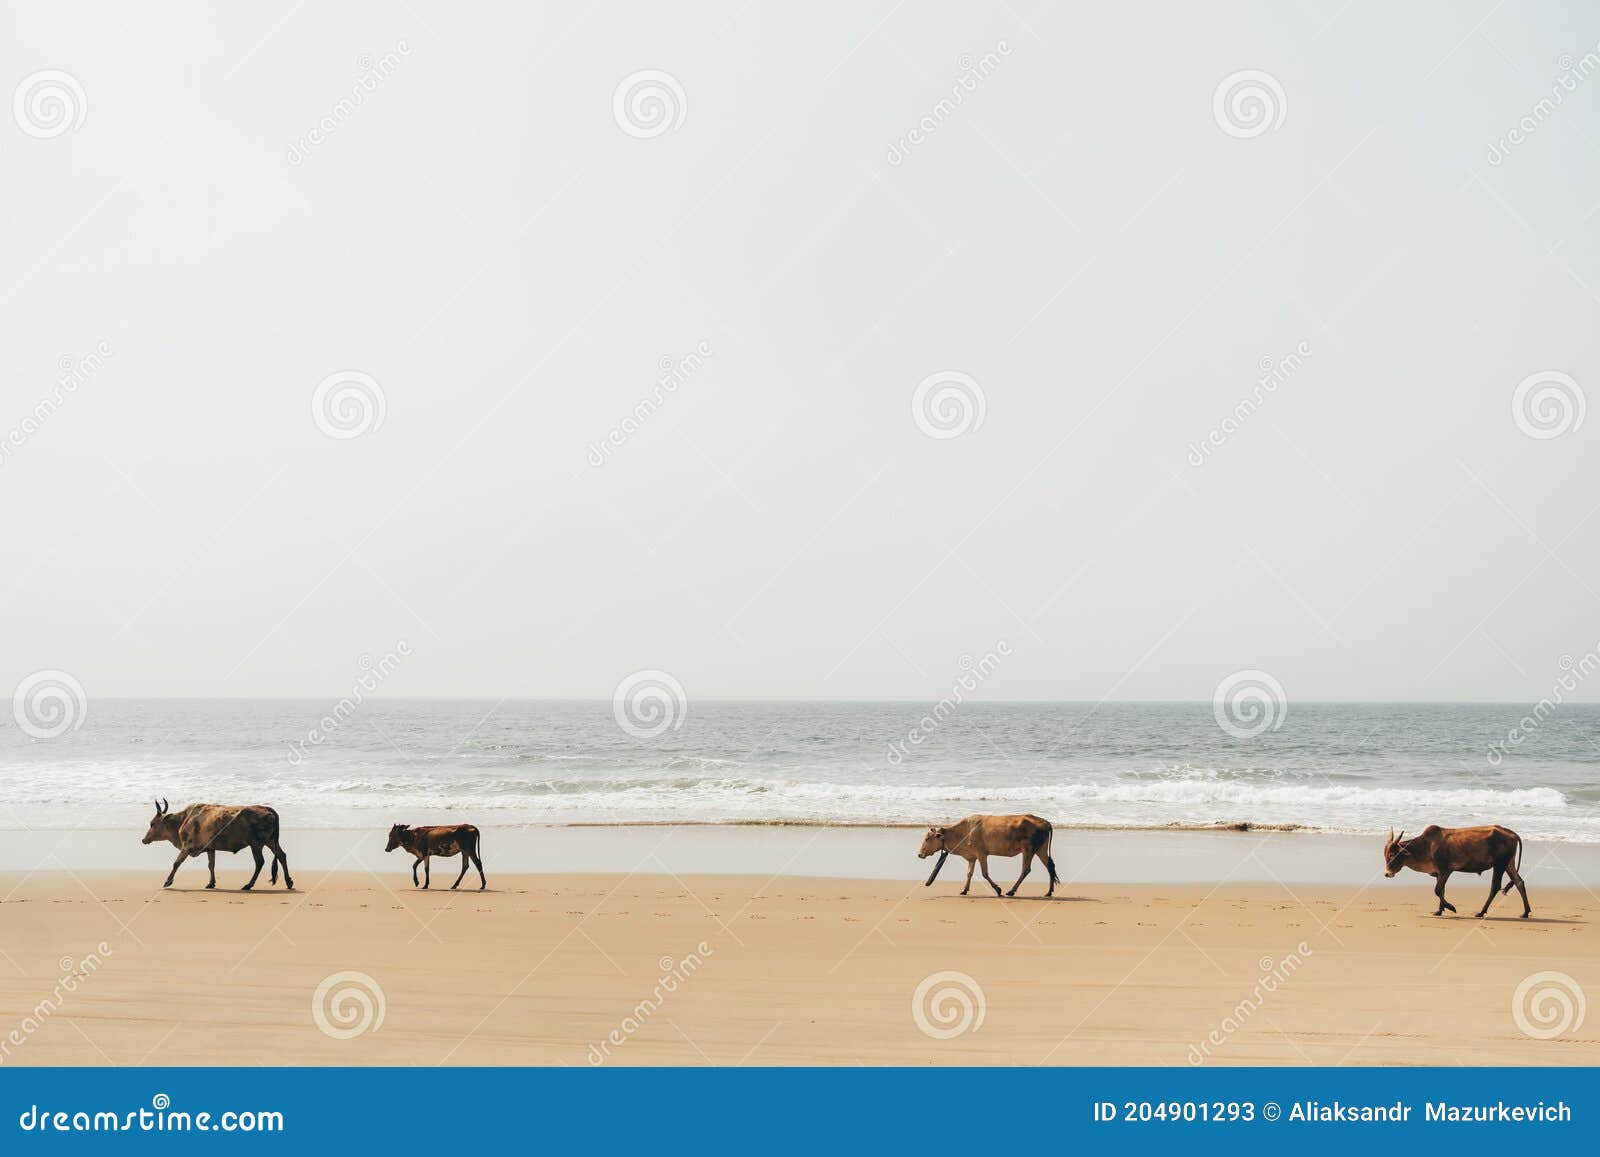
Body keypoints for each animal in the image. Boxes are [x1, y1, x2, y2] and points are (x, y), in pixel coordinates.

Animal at [141, 799, 294, 891]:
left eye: (152, 824)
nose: (143, 840)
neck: (184, 819)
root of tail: (268, 809)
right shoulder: (210, 848)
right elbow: (211, 865)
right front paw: (211, 883)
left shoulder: (187, 847)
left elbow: (176, 863)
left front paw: (167, 881)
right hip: (270, 842)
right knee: (281, 855)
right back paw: (289, 882)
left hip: (256, 844)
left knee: (260, 862)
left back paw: (248, 885)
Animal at [917, 813, 1059, 897]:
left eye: (927, 838)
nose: (919, 854)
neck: (963, 832)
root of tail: (1045, 822)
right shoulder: (972, 857)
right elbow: (969, 874)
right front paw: (964, 890)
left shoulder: (982, 854)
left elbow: (984, 874)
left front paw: (998, 890)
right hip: (1041, 850)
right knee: (1050, 866)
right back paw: (1049, 891)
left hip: (1028, 850)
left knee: (1026, 870)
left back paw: (1011, 891)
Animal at [1382, 824, 1529, 918]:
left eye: (1392, 854)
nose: (1387, 873)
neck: (1427, 846)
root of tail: (1512, 834)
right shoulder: (1439, 874)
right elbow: (1441, 890)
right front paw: (1439, 911)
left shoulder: (1445, 871)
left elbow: (1437, 890)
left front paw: (1451, 907)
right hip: (1508, 864)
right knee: (1519, 882)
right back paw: (1526, 912)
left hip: (1499, 865)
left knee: (1495, 887)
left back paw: (1481, 912)